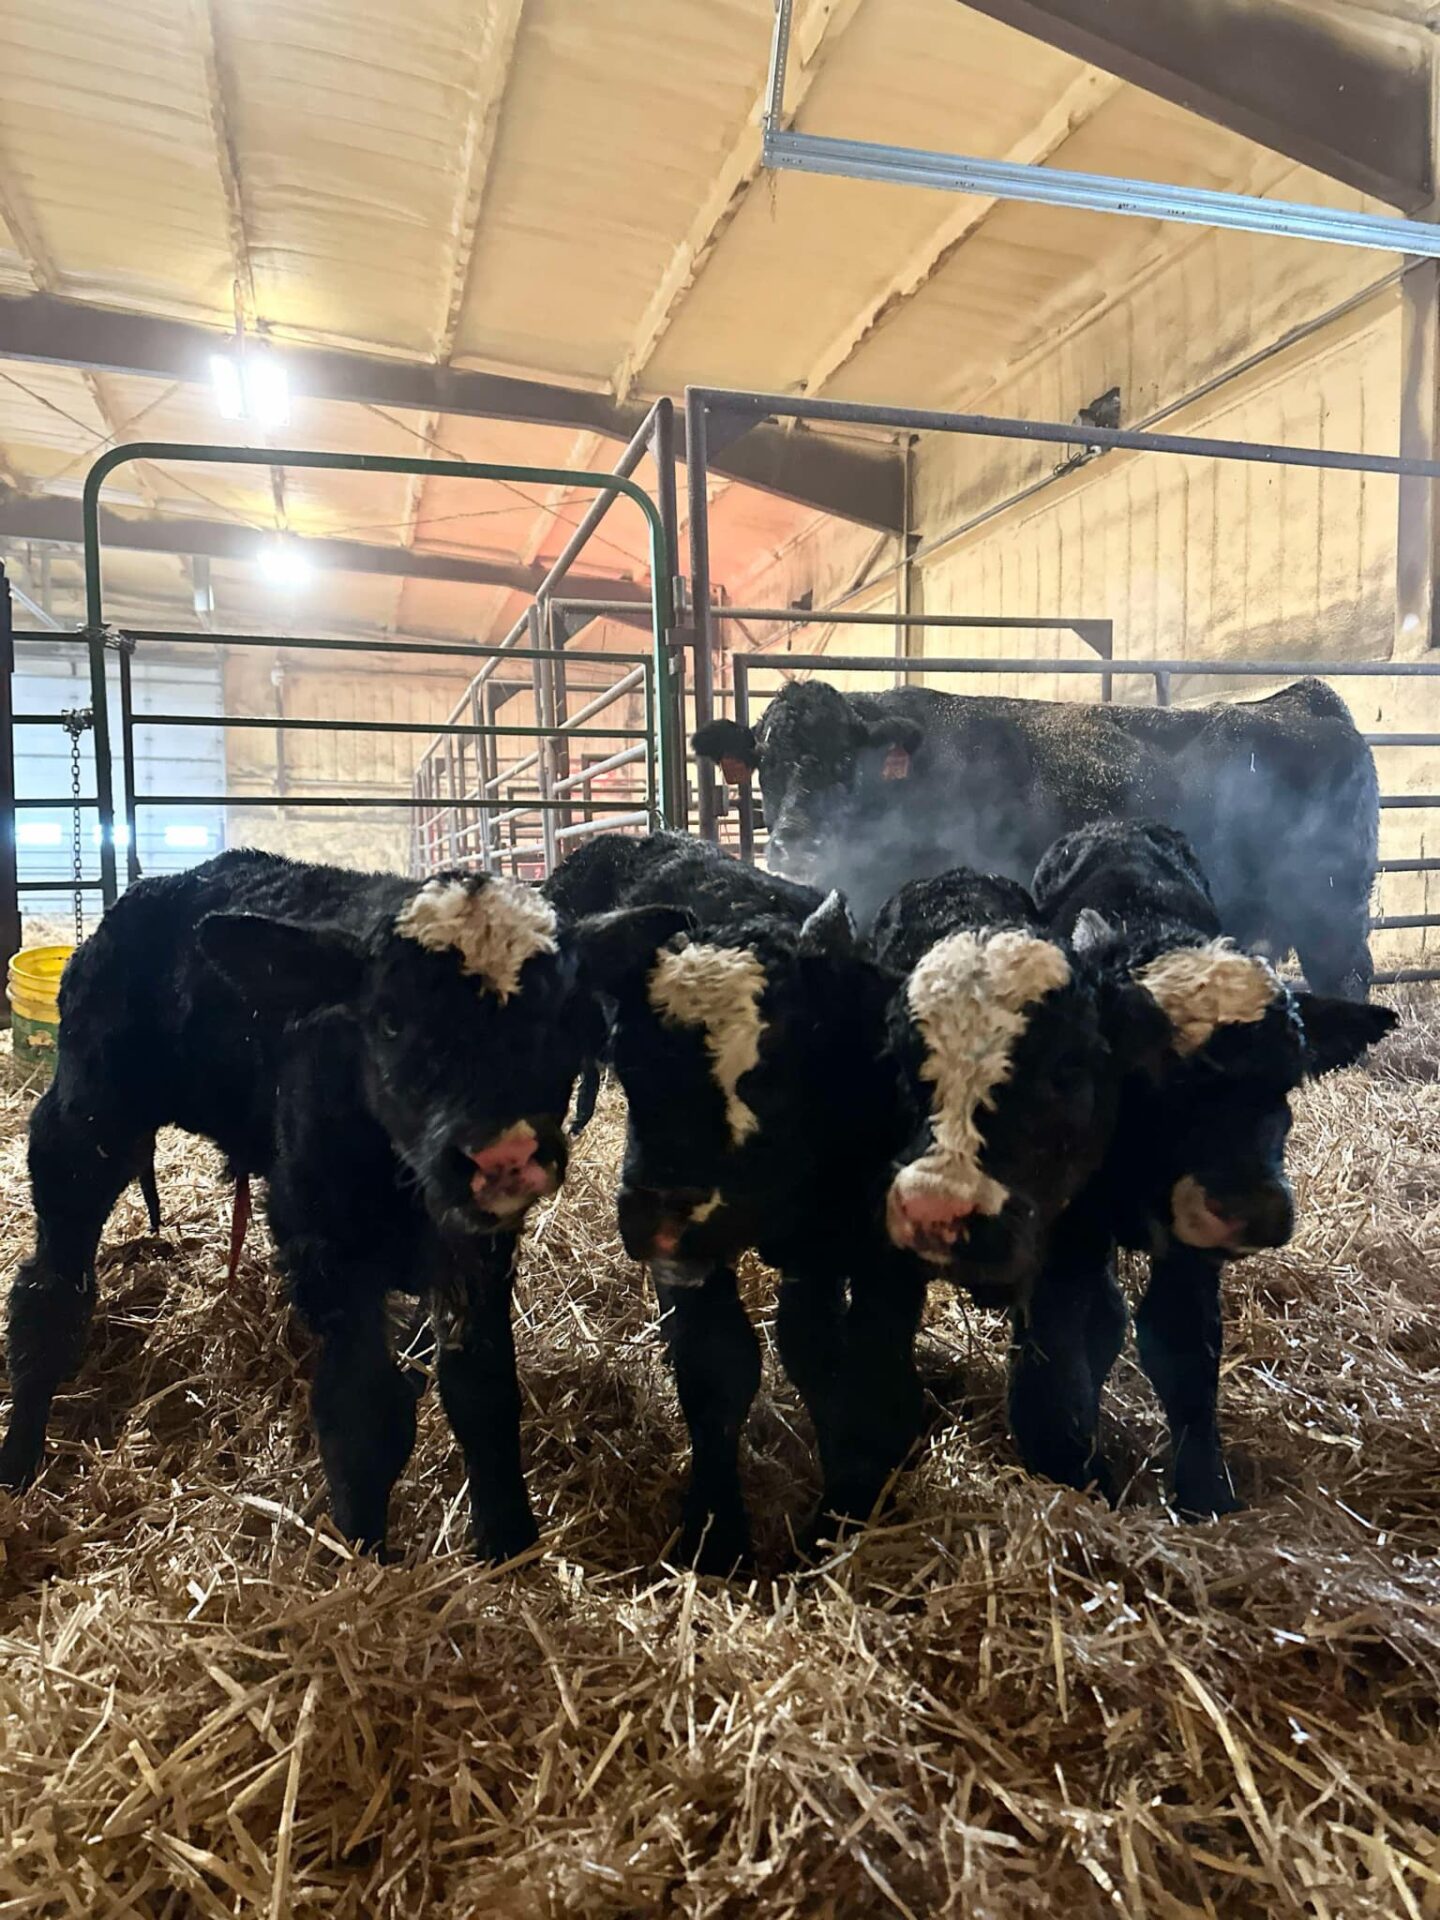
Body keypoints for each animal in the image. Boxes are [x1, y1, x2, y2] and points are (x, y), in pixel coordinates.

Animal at [0, 849, 672, 1560]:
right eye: (391, 1021)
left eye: (564, 1021)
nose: (505, 1153)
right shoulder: (323, 1241)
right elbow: (364, 1410)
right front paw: (368, 1554)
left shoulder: (475, 1249)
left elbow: (482, 1389)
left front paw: (507, 1544)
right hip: (85, 1120)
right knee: (47, 1291)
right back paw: (19, 1463)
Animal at [694, 673, 1378, 997]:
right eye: (766, 761)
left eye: (844, 762)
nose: (795, 842)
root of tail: (1303, 697)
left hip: (1330, 905)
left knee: (1348, 975)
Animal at [1013, 820, 1397, 1516]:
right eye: (1153, 1069)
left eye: (1287, 1080)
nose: (1256, 1209)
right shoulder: (1067, 1229)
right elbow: (1064, 1338)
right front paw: (1067, 1465)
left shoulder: (1191, 1256)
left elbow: (1182, 1342)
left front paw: (1205, 1489)